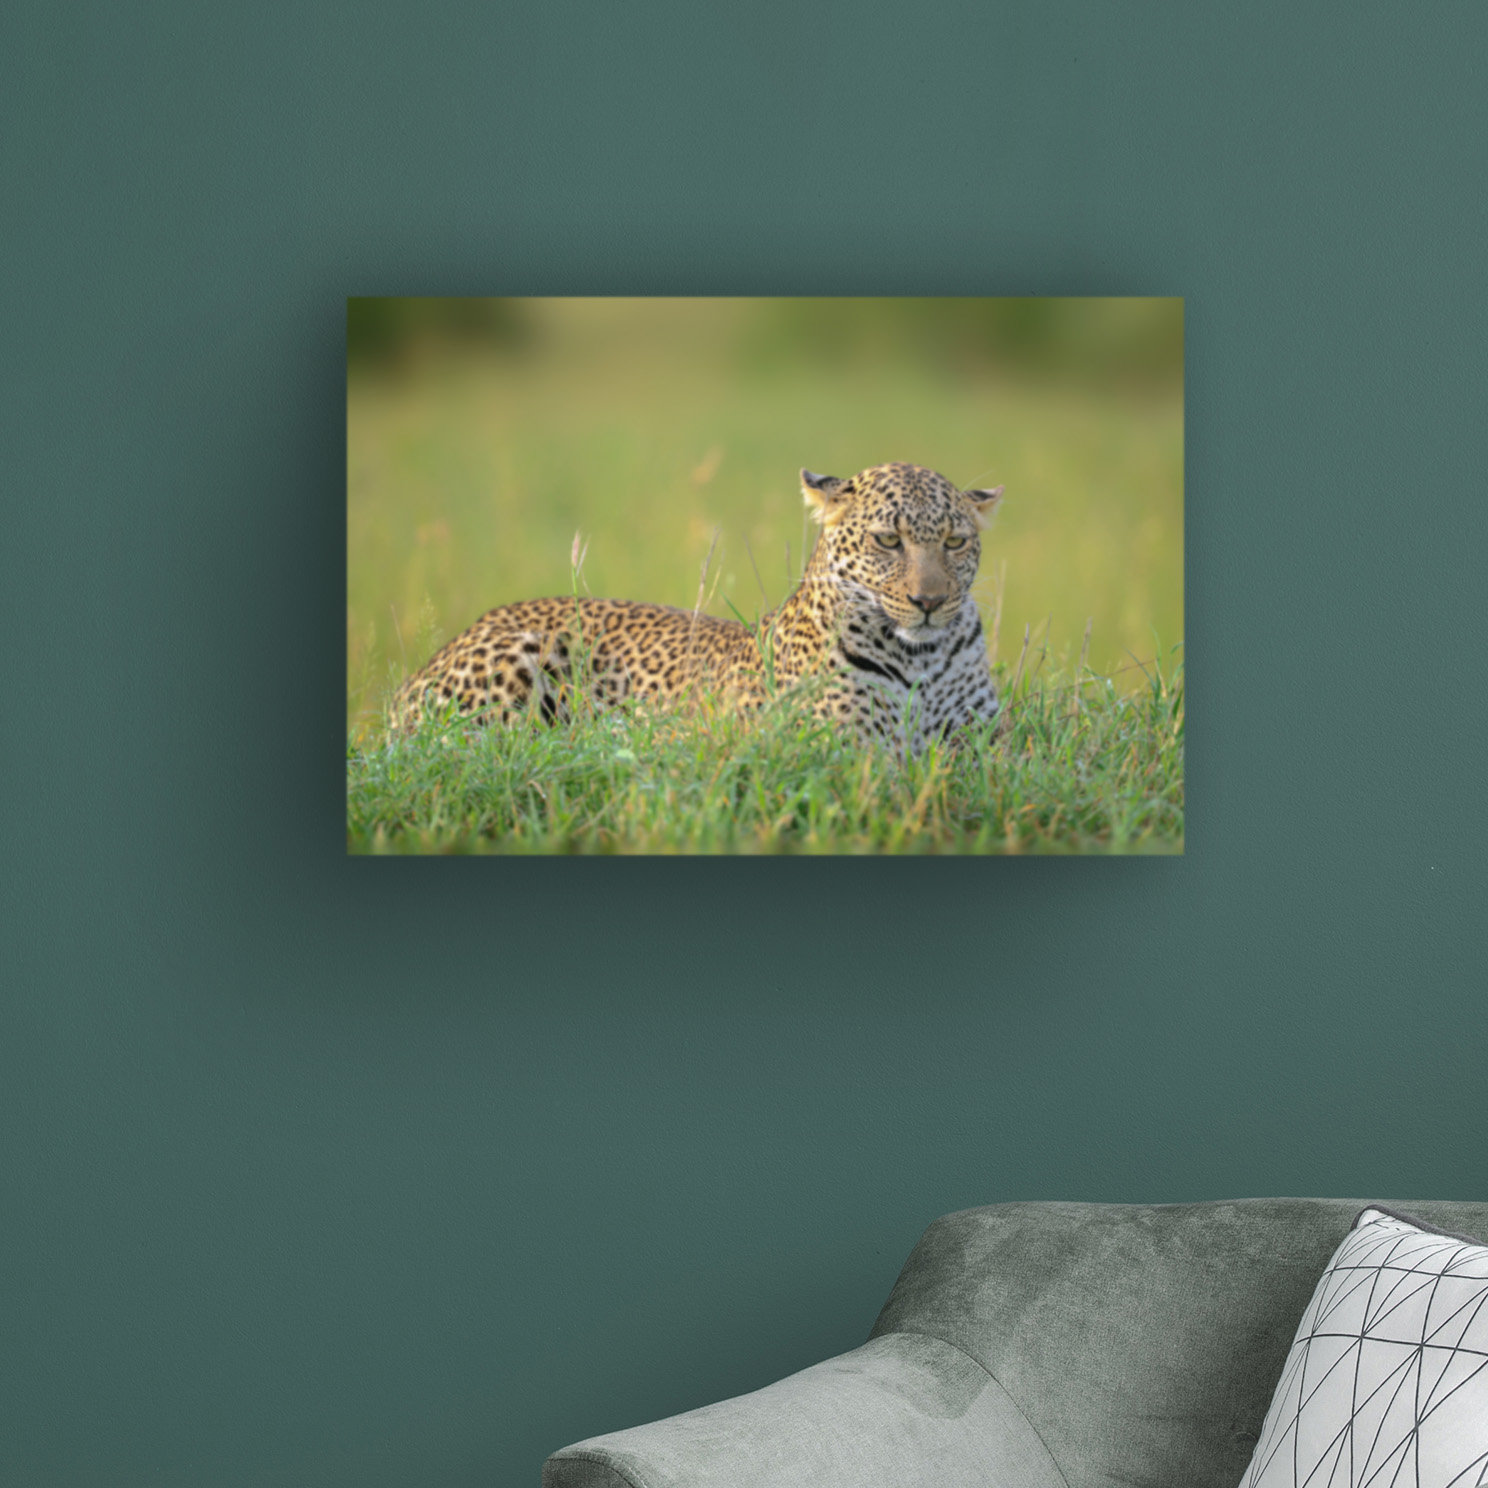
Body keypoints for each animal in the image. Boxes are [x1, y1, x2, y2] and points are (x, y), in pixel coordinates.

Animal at [388, 462, 1006, 751]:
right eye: (887, 541)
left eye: (955, 542)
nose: (929, 602)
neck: (921, 660)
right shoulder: (853, 748)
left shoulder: (986, 743)